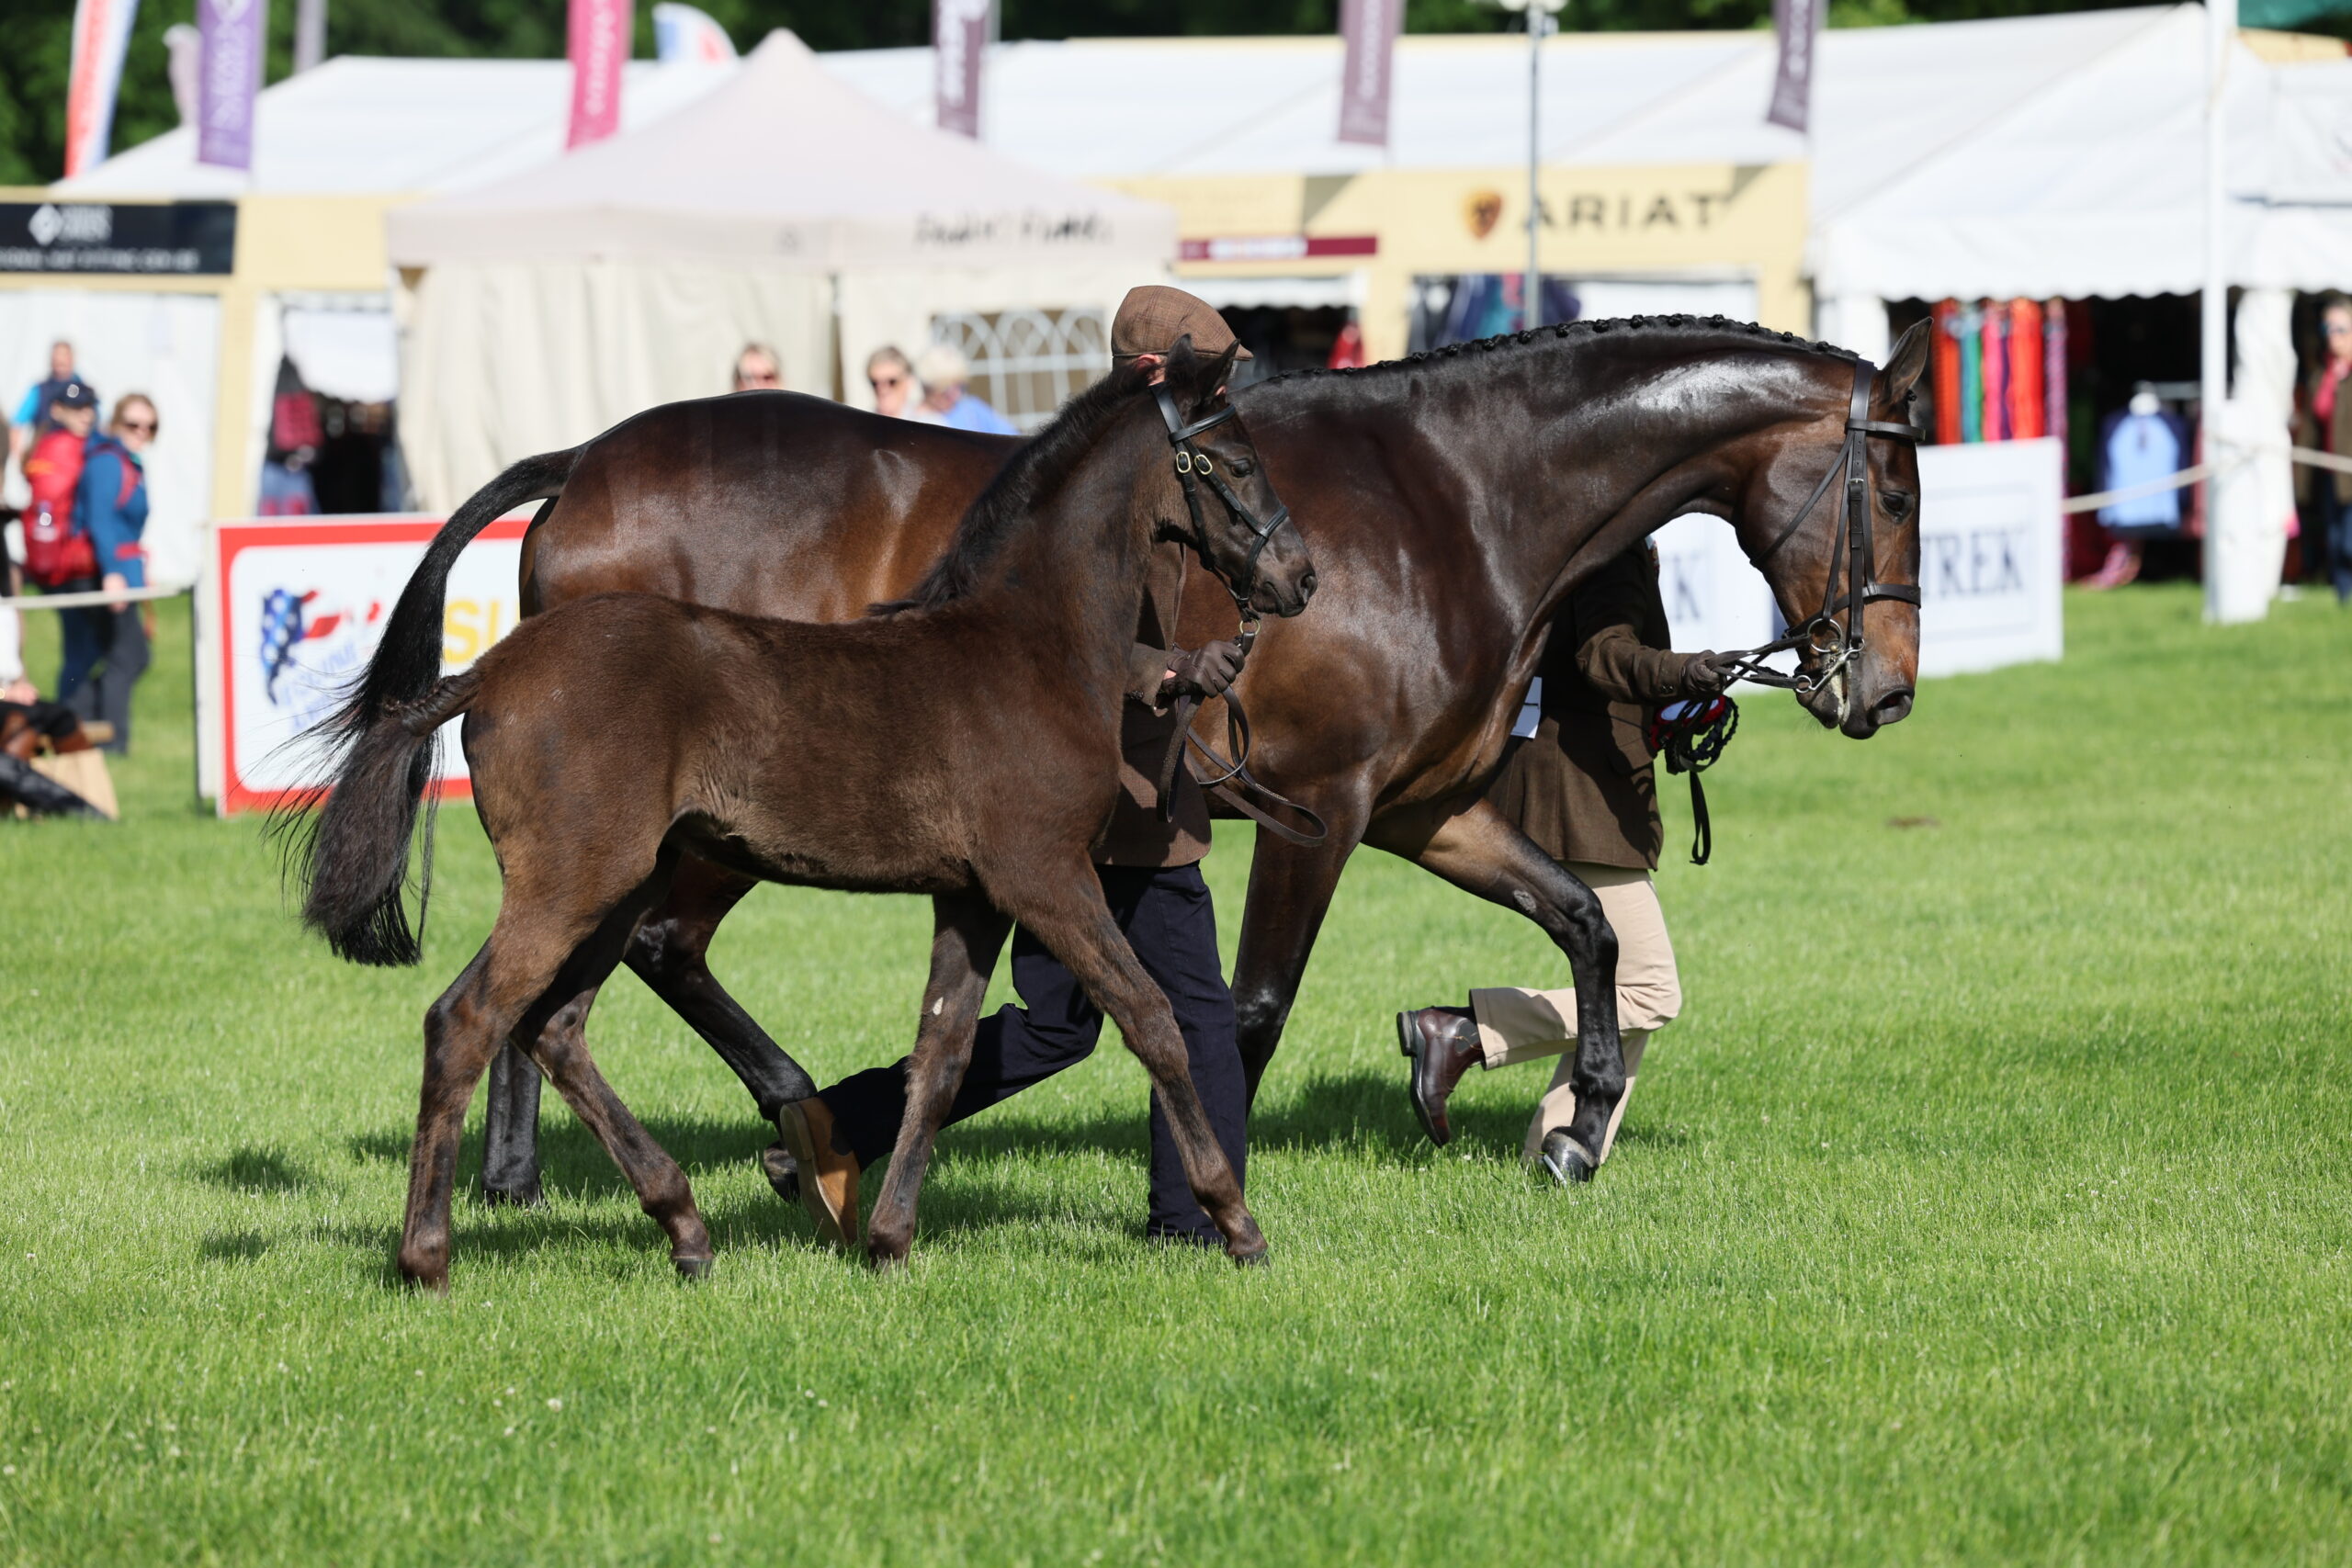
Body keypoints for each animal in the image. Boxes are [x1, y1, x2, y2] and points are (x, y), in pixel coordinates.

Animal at [288, 343, 1316, 1284]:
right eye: (1229, 461)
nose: (1299, 577)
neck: (1029, 646)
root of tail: (493, 669)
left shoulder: (973, 896)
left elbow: (940, 1056)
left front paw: (888, 1240)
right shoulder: (1047, 877)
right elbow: (1152, 1018)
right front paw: (1237, 1221)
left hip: (625, 883)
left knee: (553, 1026)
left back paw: (687, 1228)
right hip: (573, 880)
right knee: (468, 1019)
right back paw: (427, 1256)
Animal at [346, 314, 1929, 1203]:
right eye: (1900, 480)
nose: (1888, 687)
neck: (1451, 497)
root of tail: (584, 462)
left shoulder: (1428, 809)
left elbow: (1589, 922)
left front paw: (1577, 1120)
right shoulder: (1322, 813)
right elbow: (1251, 1007)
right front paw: (1201, 1186)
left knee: (593, 964)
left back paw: (565, 1163)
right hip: (689, 829)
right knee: (621, 954)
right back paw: (736, 1130)